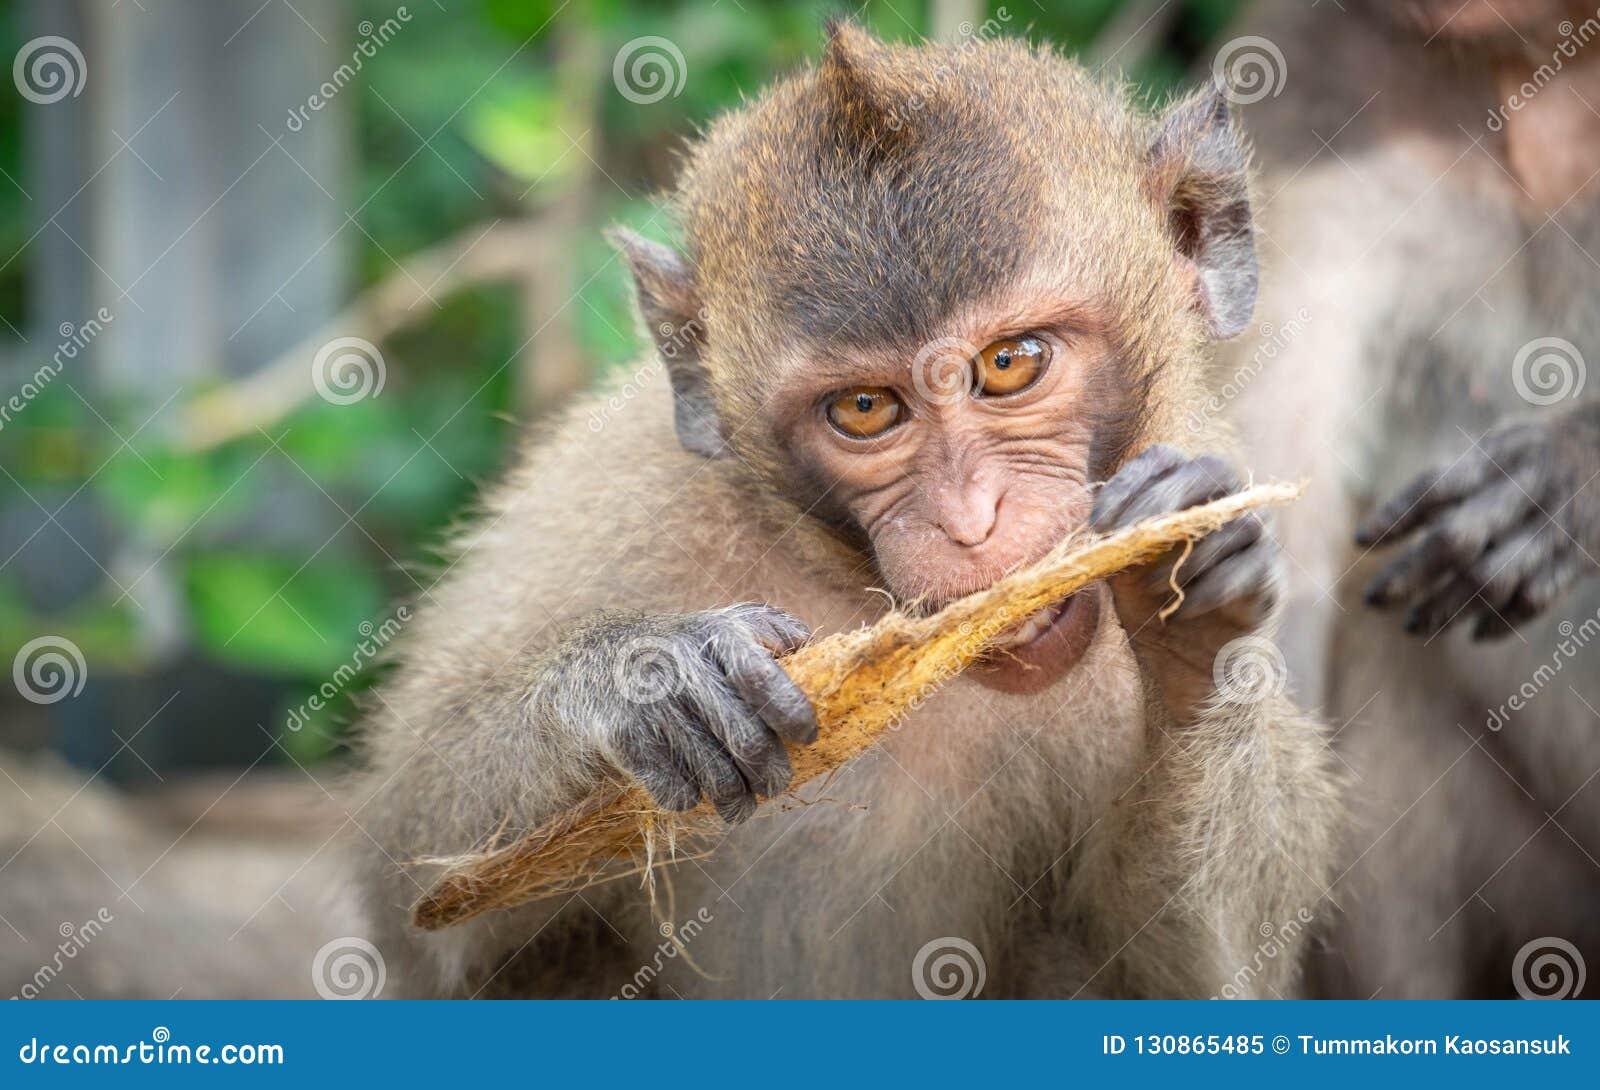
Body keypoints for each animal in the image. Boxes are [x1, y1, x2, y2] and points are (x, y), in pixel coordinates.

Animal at [349, 22, 1340, 1000]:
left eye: (1009, 363)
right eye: (865, 409)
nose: (970, 518)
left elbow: (1188, 978)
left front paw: (1192, 611)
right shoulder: (618, 486)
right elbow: (414, 900)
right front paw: (643, 678)